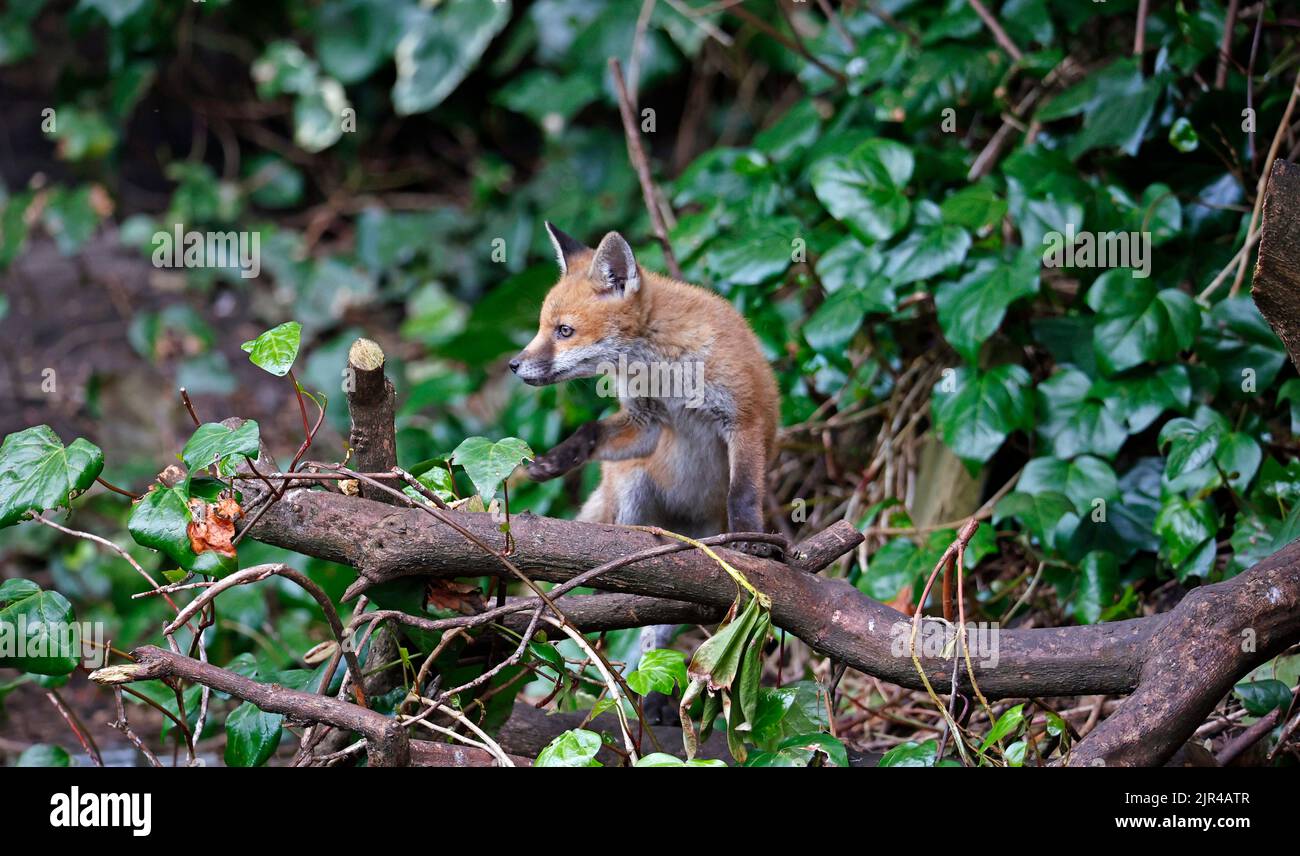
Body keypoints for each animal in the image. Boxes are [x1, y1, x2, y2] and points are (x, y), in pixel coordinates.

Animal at [510, 223, 781, 562]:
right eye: (541, 327)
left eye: (564, 331)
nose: (513, 364)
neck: (666, 377)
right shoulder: (646, 421)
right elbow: (590, 429)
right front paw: (556, 460)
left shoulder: (743, 418)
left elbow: (743, 493)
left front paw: (751, 540)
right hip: (632, 486)